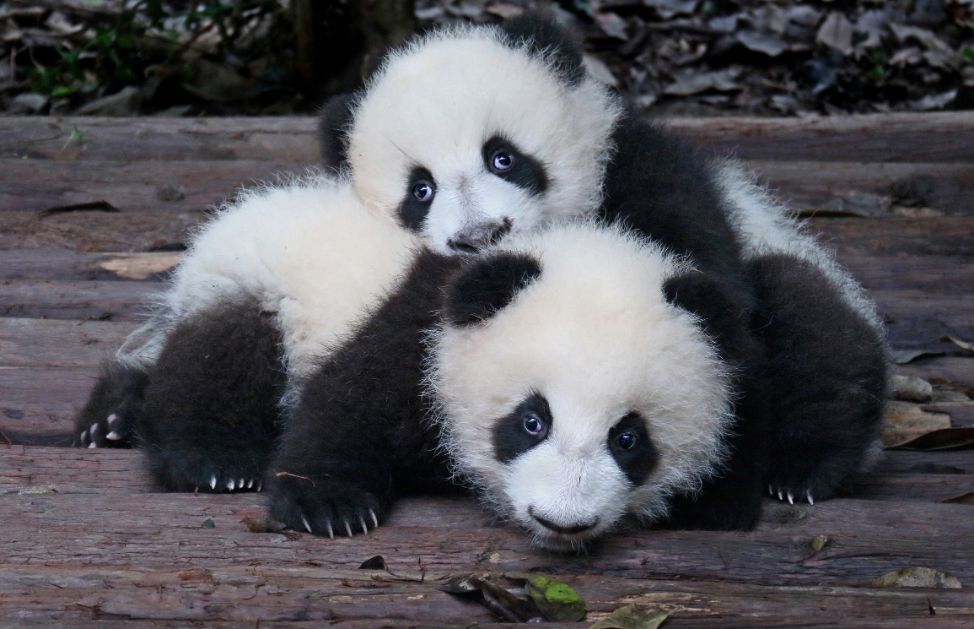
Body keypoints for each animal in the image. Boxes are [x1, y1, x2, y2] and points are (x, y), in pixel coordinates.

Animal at [318, 12, 889, 505]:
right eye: (421, 190)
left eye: (502, 157)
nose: (480, 234)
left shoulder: (639, 166)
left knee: (811, 325)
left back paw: (803, 468)